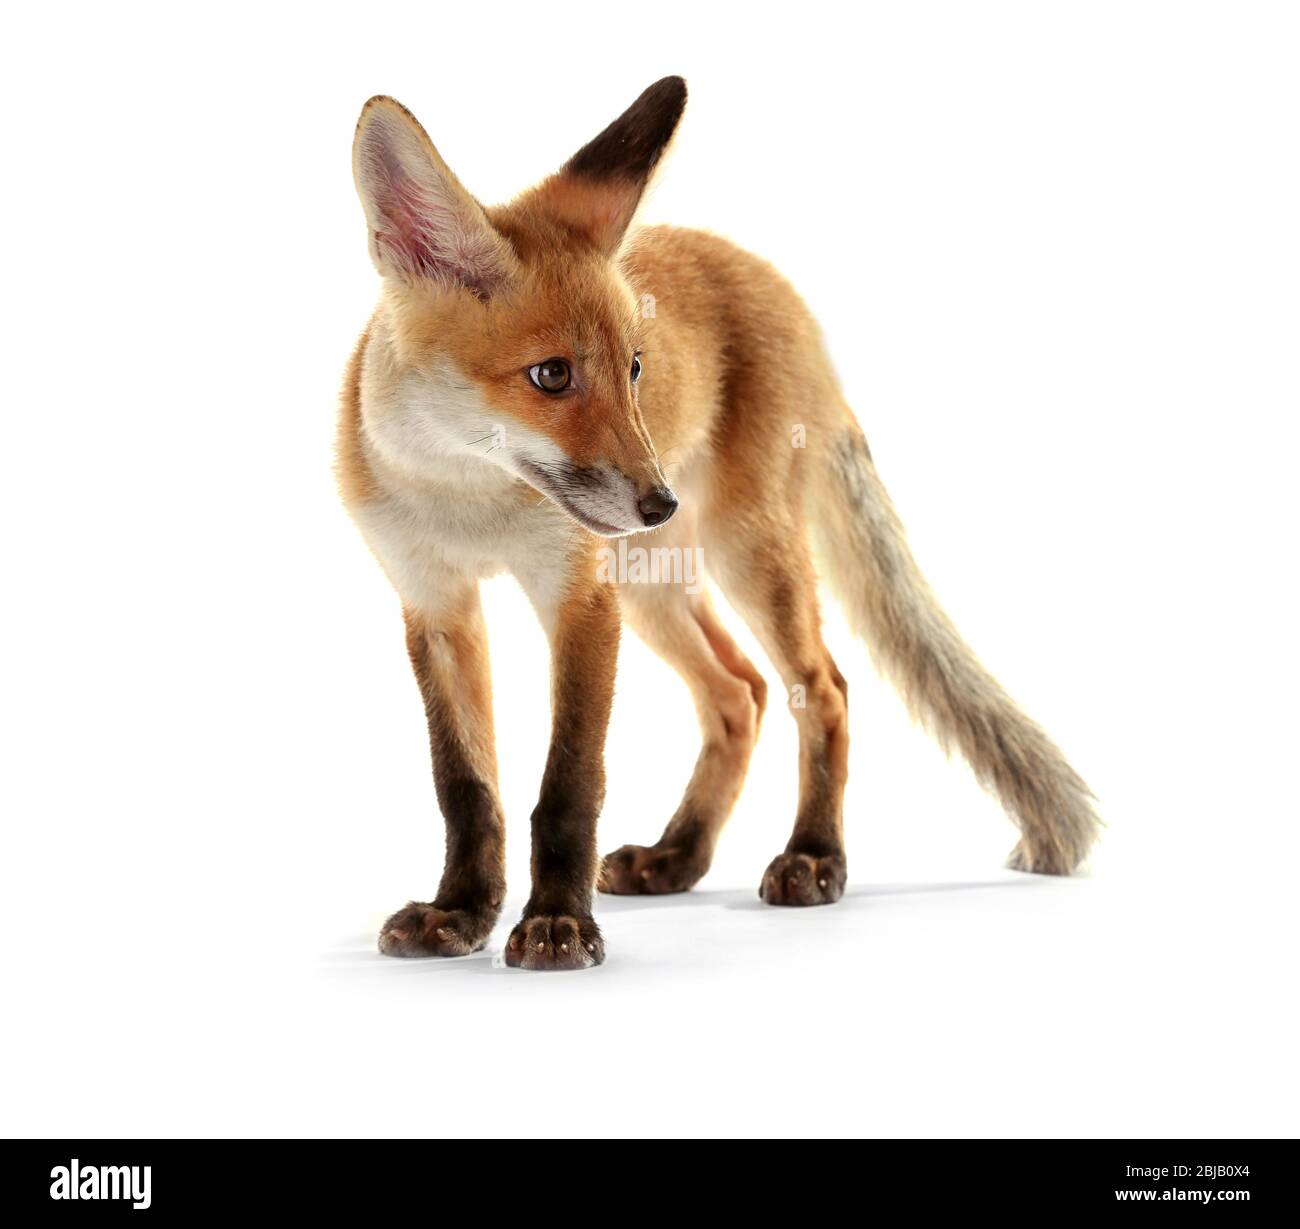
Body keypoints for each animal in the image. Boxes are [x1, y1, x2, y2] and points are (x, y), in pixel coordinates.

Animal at [337, 77, 1099, 970]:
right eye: (552, 375)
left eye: (635, 367)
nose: (657, 501)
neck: (464, 498)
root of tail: (785, 293)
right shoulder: (435, 603)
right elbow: (463, 786)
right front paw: (460, 909)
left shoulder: (580, 598)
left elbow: (569, 785)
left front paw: (558, 922)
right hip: (652, 587)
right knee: (741, 691)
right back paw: (680, 854)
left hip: (742, 555)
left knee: (822, 687)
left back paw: (814, 856)